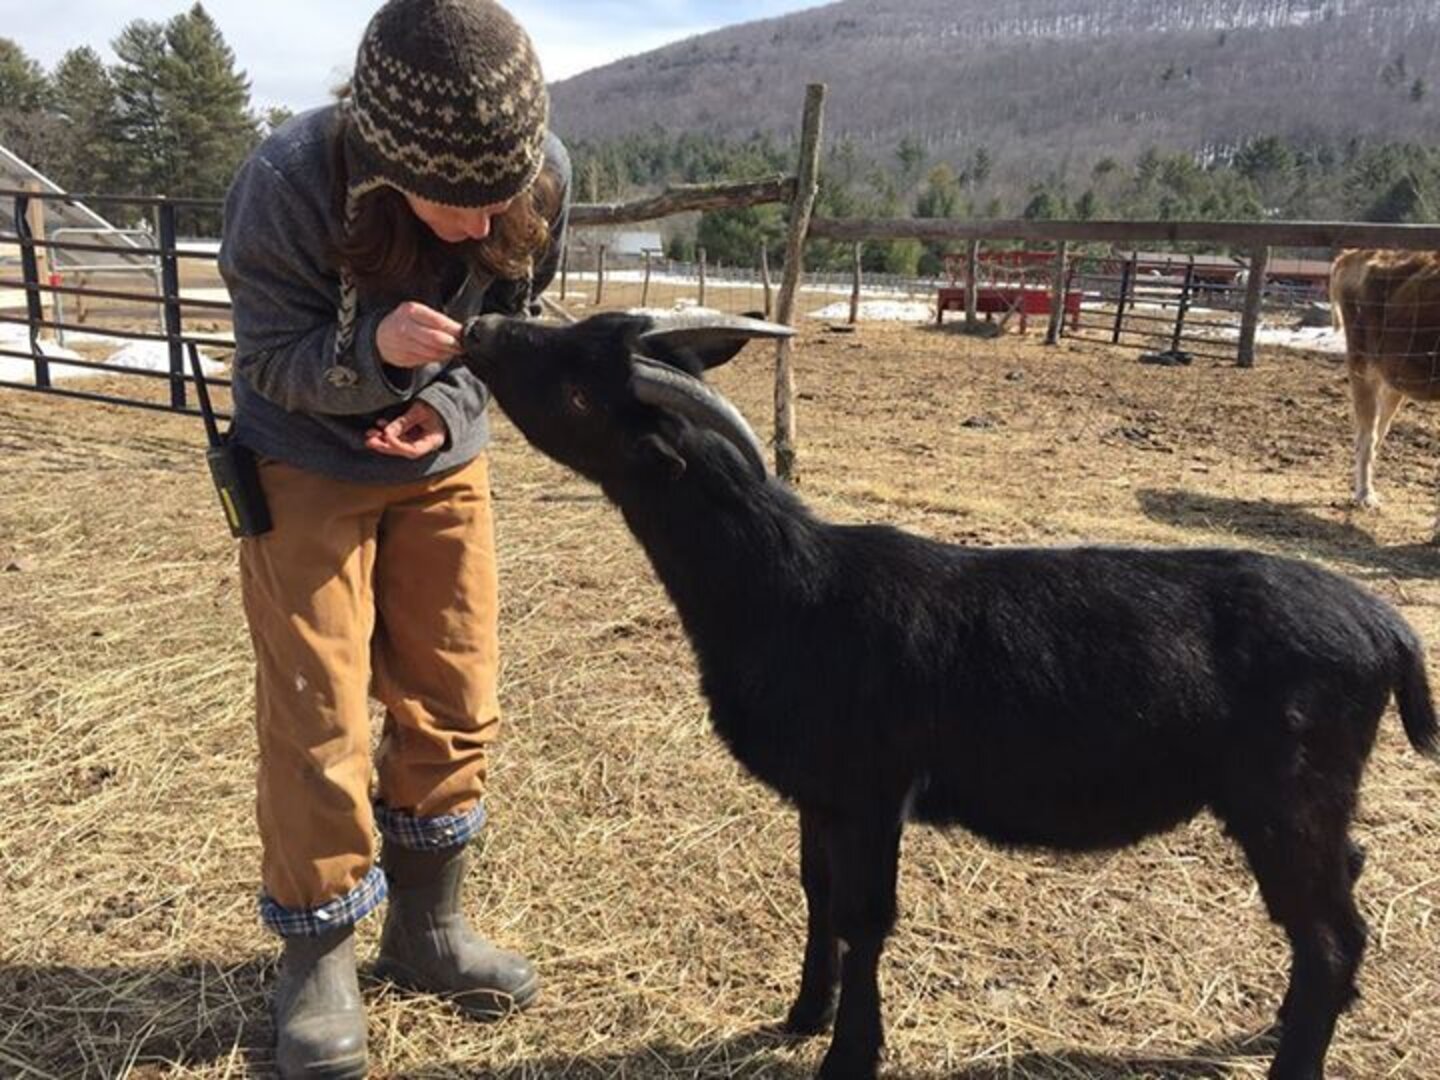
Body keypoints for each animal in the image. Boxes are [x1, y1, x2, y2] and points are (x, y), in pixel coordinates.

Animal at [463, 310, 1438, 1080]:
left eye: (581, 394)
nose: (478, 328)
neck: (792, 591)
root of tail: (1388, 628)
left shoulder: (871, 792)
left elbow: (866, 917)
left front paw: (849, 1055)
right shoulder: (822, 797)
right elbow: (819, 896)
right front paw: (803, 1015)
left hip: (1287, 793)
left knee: (1330, 934)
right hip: (1306, 797)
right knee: (1343, 888)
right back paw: (1288, 1021)